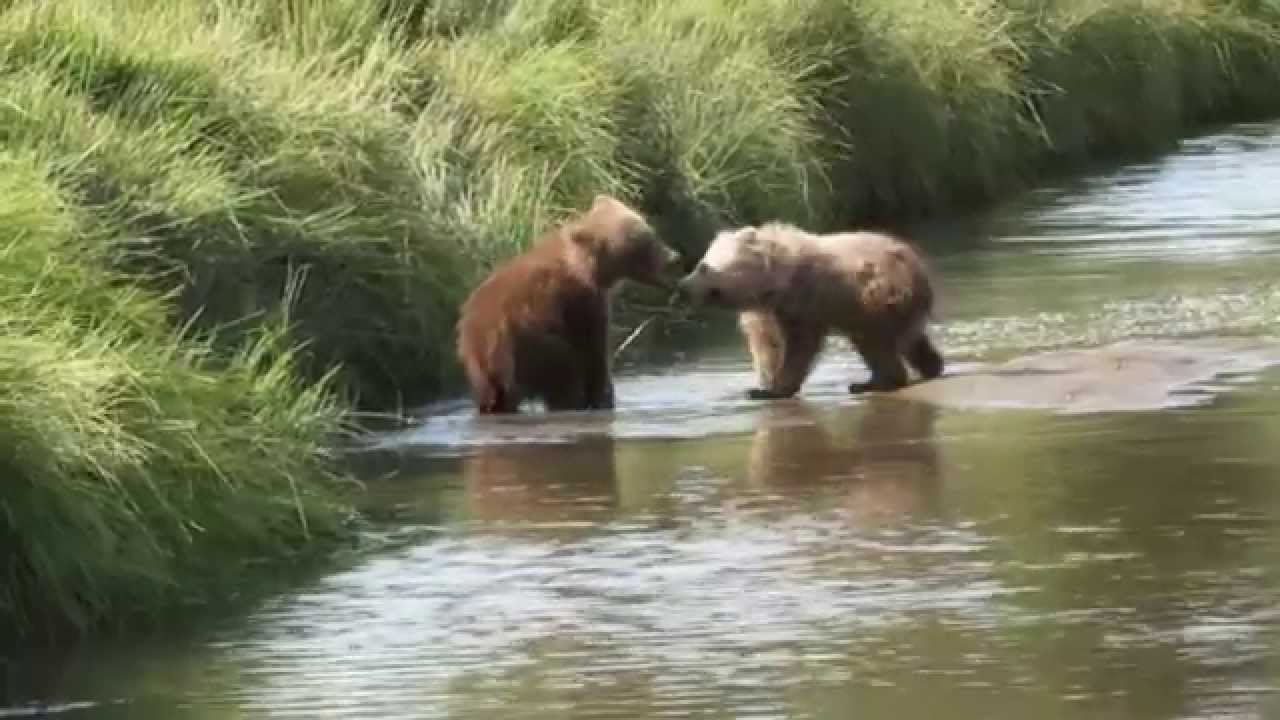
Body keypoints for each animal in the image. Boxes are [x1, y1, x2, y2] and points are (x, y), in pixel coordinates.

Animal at [456, 194, 681, 414]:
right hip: (534, 345)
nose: (673, 258)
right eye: (644, 241)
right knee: (565, 374)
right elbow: (594, 352)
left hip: (479, 365)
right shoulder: (580, 303)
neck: (591, 268)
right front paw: (602, 398)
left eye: (650, 232)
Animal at [676, 222, 943, 399]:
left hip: (873, 298)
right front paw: (763, 384)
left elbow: (799, 345)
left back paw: (872, 382)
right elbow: (768, 344)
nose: (682, 288)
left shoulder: (803, 300)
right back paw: (931, 366)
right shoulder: (767, 311)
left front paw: (775, 388)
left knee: (873, 342)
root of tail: (918, 268)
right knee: (910, 340)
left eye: (703, 266)